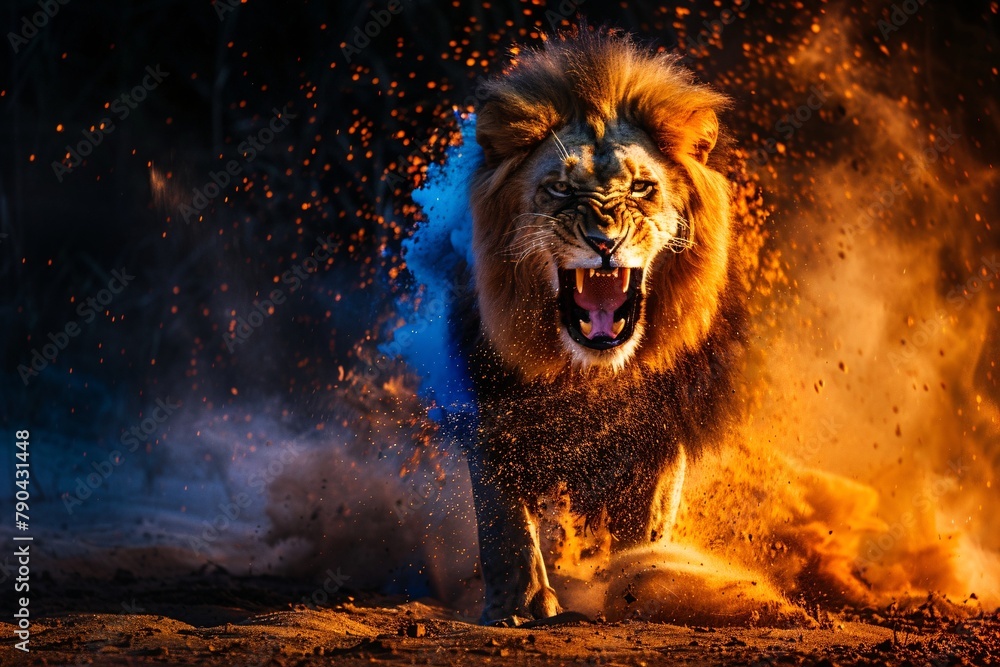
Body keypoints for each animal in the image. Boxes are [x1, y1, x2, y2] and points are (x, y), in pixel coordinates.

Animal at [456, 29, 754, 625]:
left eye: (641, 188)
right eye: (558, 189)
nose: (604, 242)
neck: (591, 375)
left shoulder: (660, 427)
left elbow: (648, 525)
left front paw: (641, 587)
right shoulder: (489, 404)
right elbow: (503, 523)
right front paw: (519, 604)